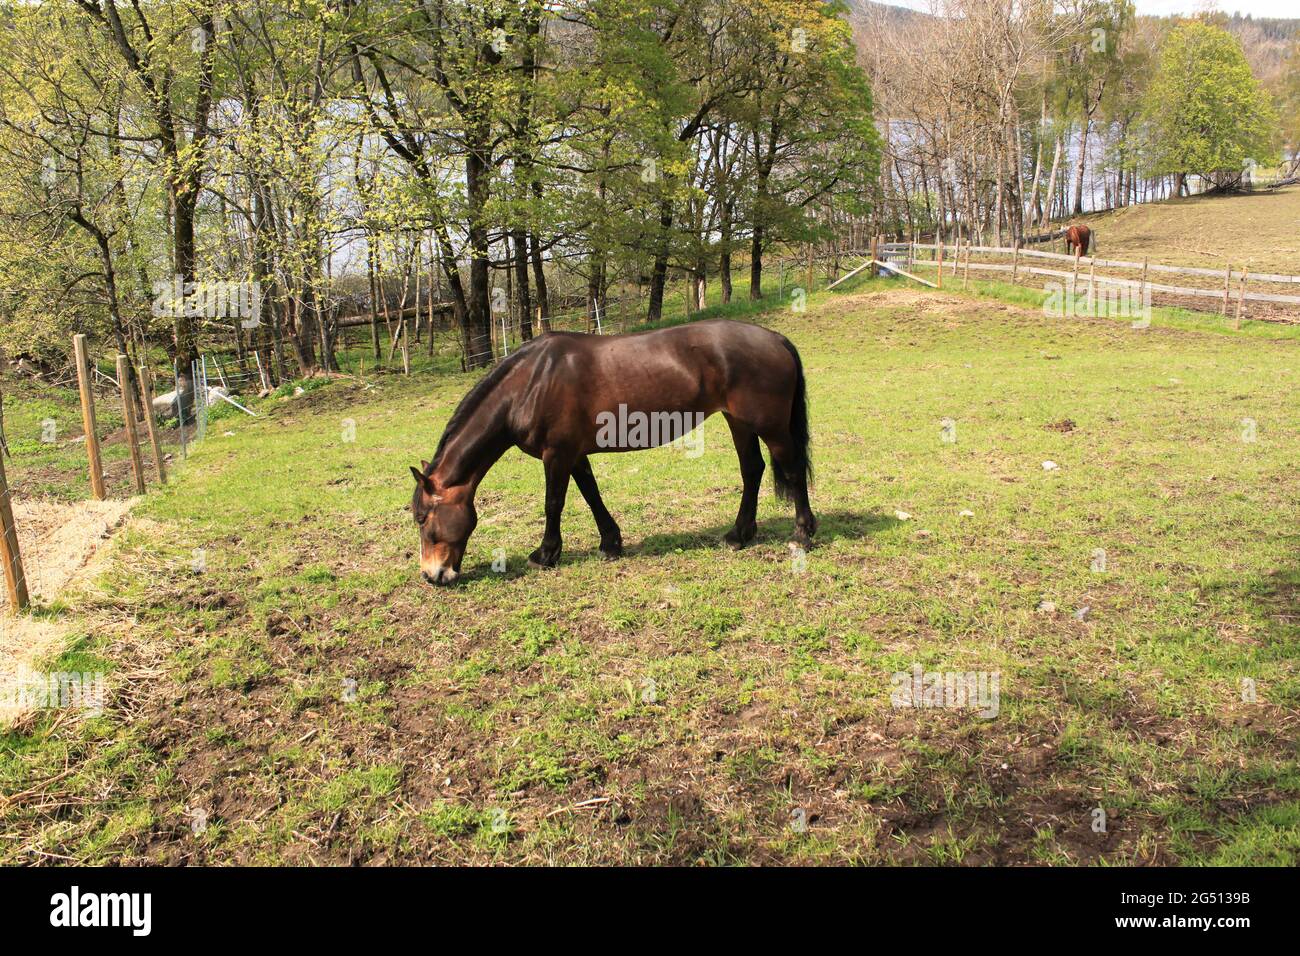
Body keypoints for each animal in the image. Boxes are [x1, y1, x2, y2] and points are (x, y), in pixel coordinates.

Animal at [410, 319, 815, 584]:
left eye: (422, 518)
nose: (432, 575)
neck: (531, 383)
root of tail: (775, 338)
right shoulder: (573, 454)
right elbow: (591, 495)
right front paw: (610, 542)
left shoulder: (557, 454)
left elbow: (554, 503)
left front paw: (545, 554)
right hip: (739, 421)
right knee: (752, 470)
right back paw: (739, 535)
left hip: (770, 426)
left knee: (793, 469)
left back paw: (802, 535)